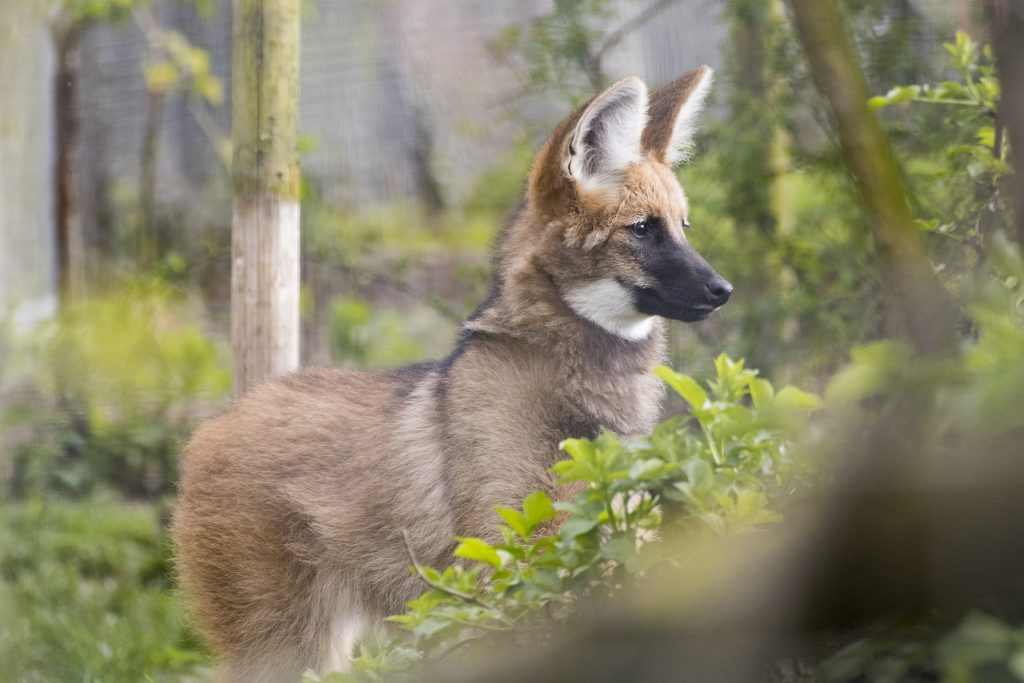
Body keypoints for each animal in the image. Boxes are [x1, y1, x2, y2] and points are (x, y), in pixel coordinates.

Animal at [173, 65, 731, 681]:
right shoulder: (512, 562)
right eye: (642, 229)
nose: (722, 289)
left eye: (682, 226)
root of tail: (216, 422)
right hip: (283, 642)